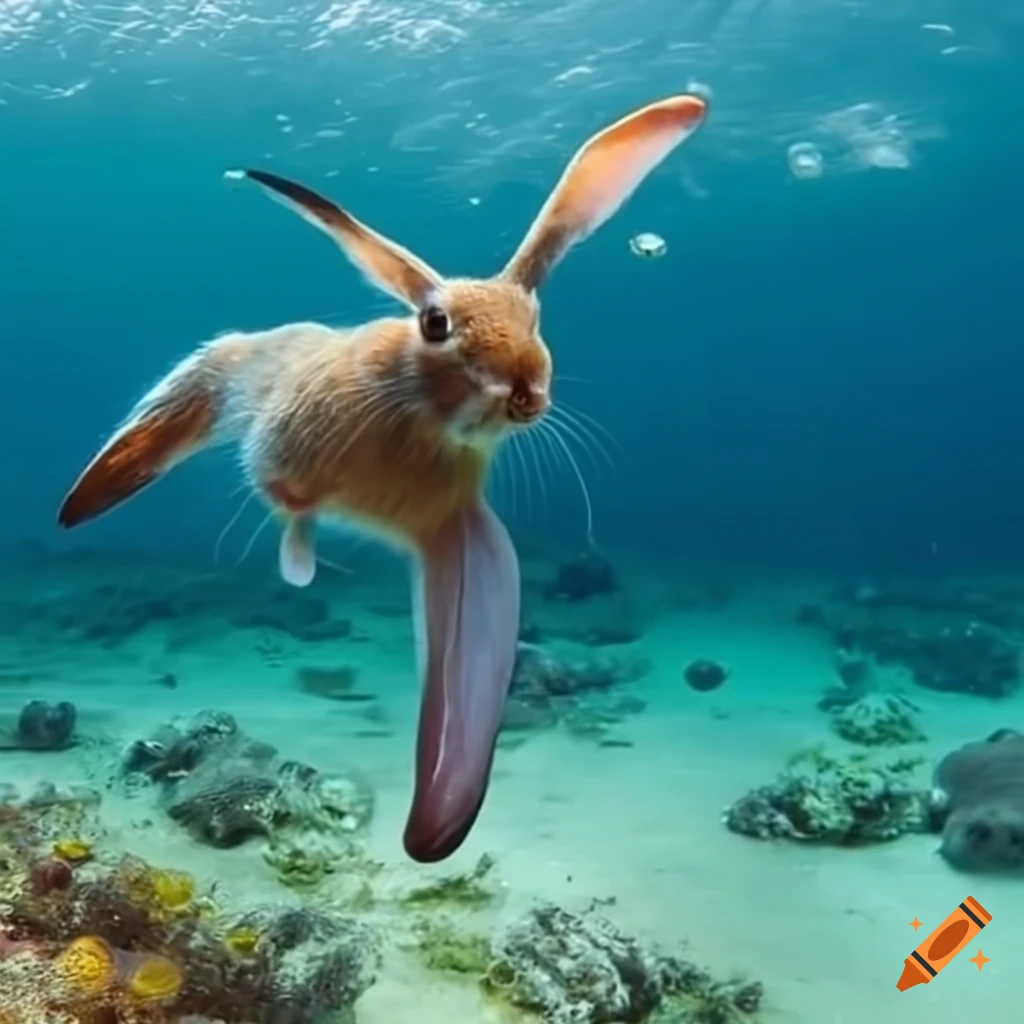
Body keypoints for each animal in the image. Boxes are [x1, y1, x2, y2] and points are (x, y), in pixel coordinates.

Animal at [57, 93, 707, 862]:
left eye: (537, 319)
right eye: (436, 323)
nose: (527, 394)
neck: (419, 408)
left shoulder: (458, 531)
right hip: (234, 369)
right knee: (262, 484)